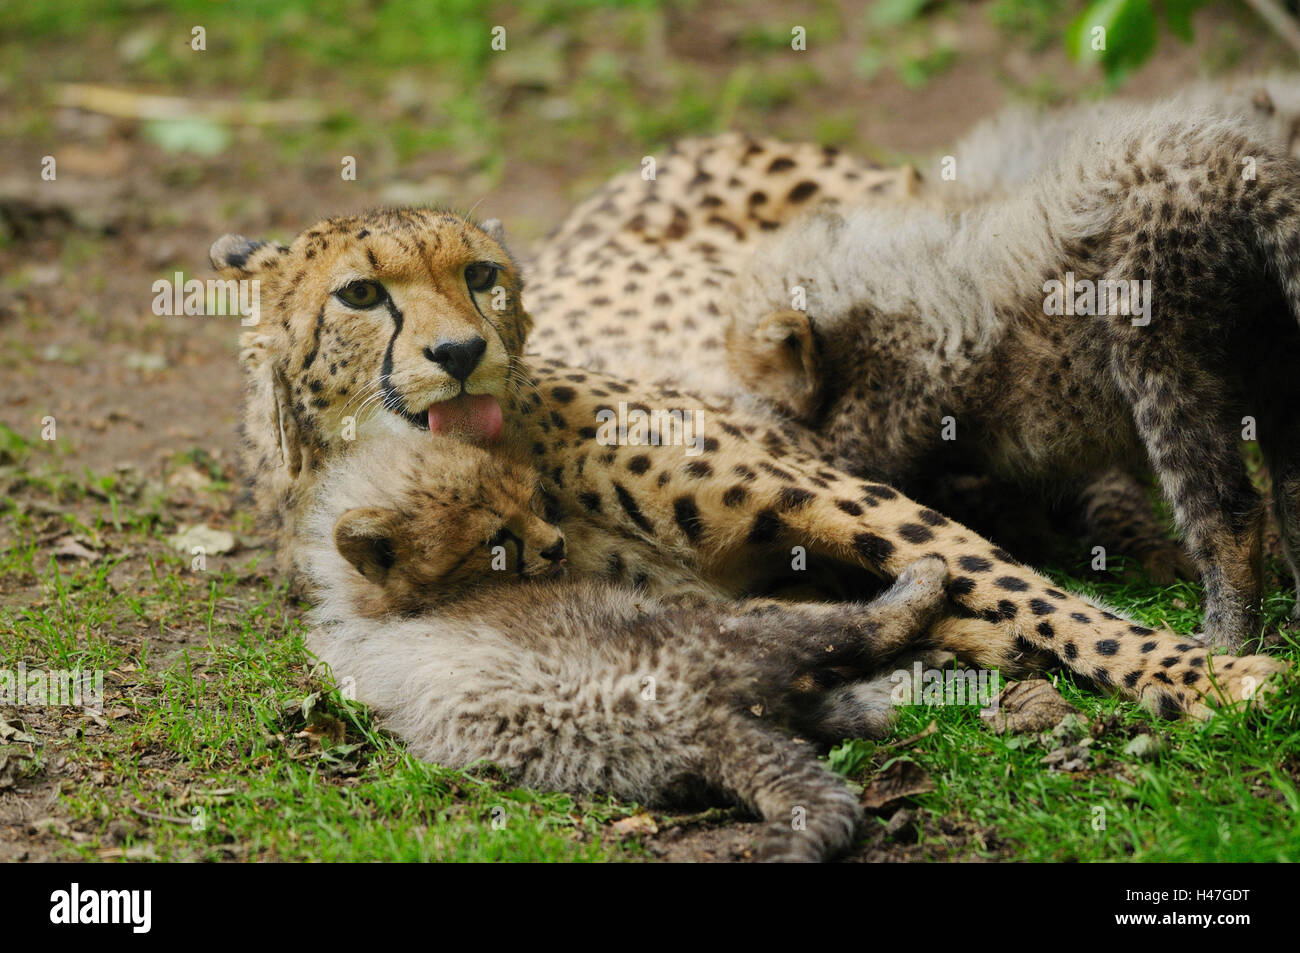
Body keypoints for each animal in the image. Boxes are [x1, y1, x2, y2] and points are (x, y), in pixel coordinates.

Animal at [212, 206, 1284, 719]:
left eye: (480, 276)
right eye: (361, 294)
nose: (462, 351)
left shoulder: (841, 491)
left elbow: (1036, 594)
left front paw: (1205, 674)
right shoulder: (672, 608)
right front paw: (960, 639)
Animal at [303, 431, 954, 862]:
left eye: (534, 502)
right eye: (496, 538)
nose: (556, 546)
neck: (379, 606)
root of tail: (698, 727)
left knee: (854, 709)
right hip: (730, 637)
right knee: (849, 632)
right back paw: (924, 588)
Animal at [721, 102, 1300, 650]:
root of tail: (1229, 156)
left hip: (1158, 353)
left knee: (1227, 508)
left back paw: (1227, 640)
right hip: (1273, 353)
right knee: (1291, 488)